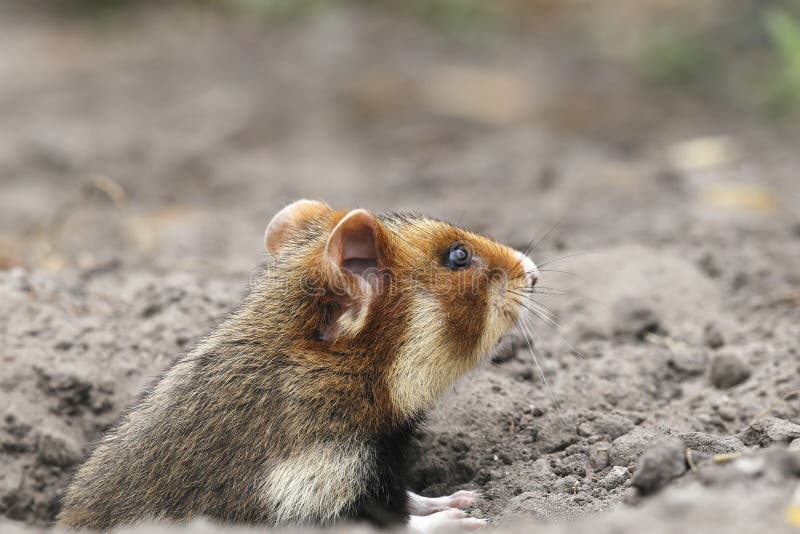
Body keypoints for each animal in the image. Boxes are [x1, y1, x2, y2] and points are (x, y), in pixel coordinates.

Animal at [57, 199, 539, 532]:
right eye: (457, 256)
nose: (533, 271)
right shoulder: (316, 491)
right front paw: (454, 521)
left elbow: (403, 496)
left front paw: (453, 500)